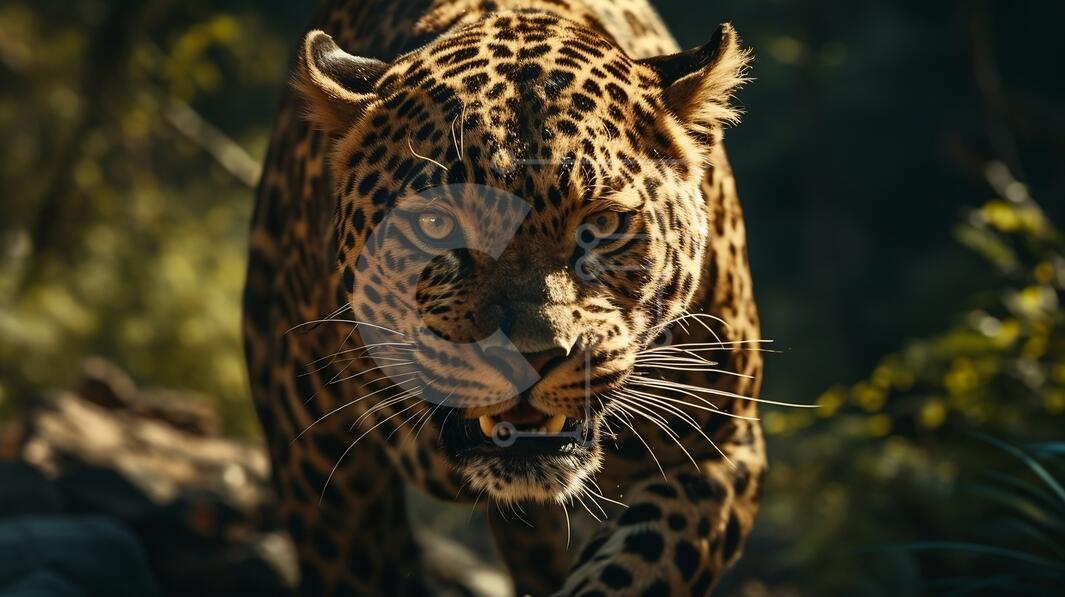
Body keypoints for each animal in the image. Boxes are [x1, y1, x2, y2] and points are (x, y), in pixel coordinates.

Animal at [242, 0, 766, 595]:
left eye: (601, 227)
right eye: (435, 225)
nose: (531, 358)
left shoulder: (721, 450)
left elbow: (634, 570)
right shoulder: (320, 469)